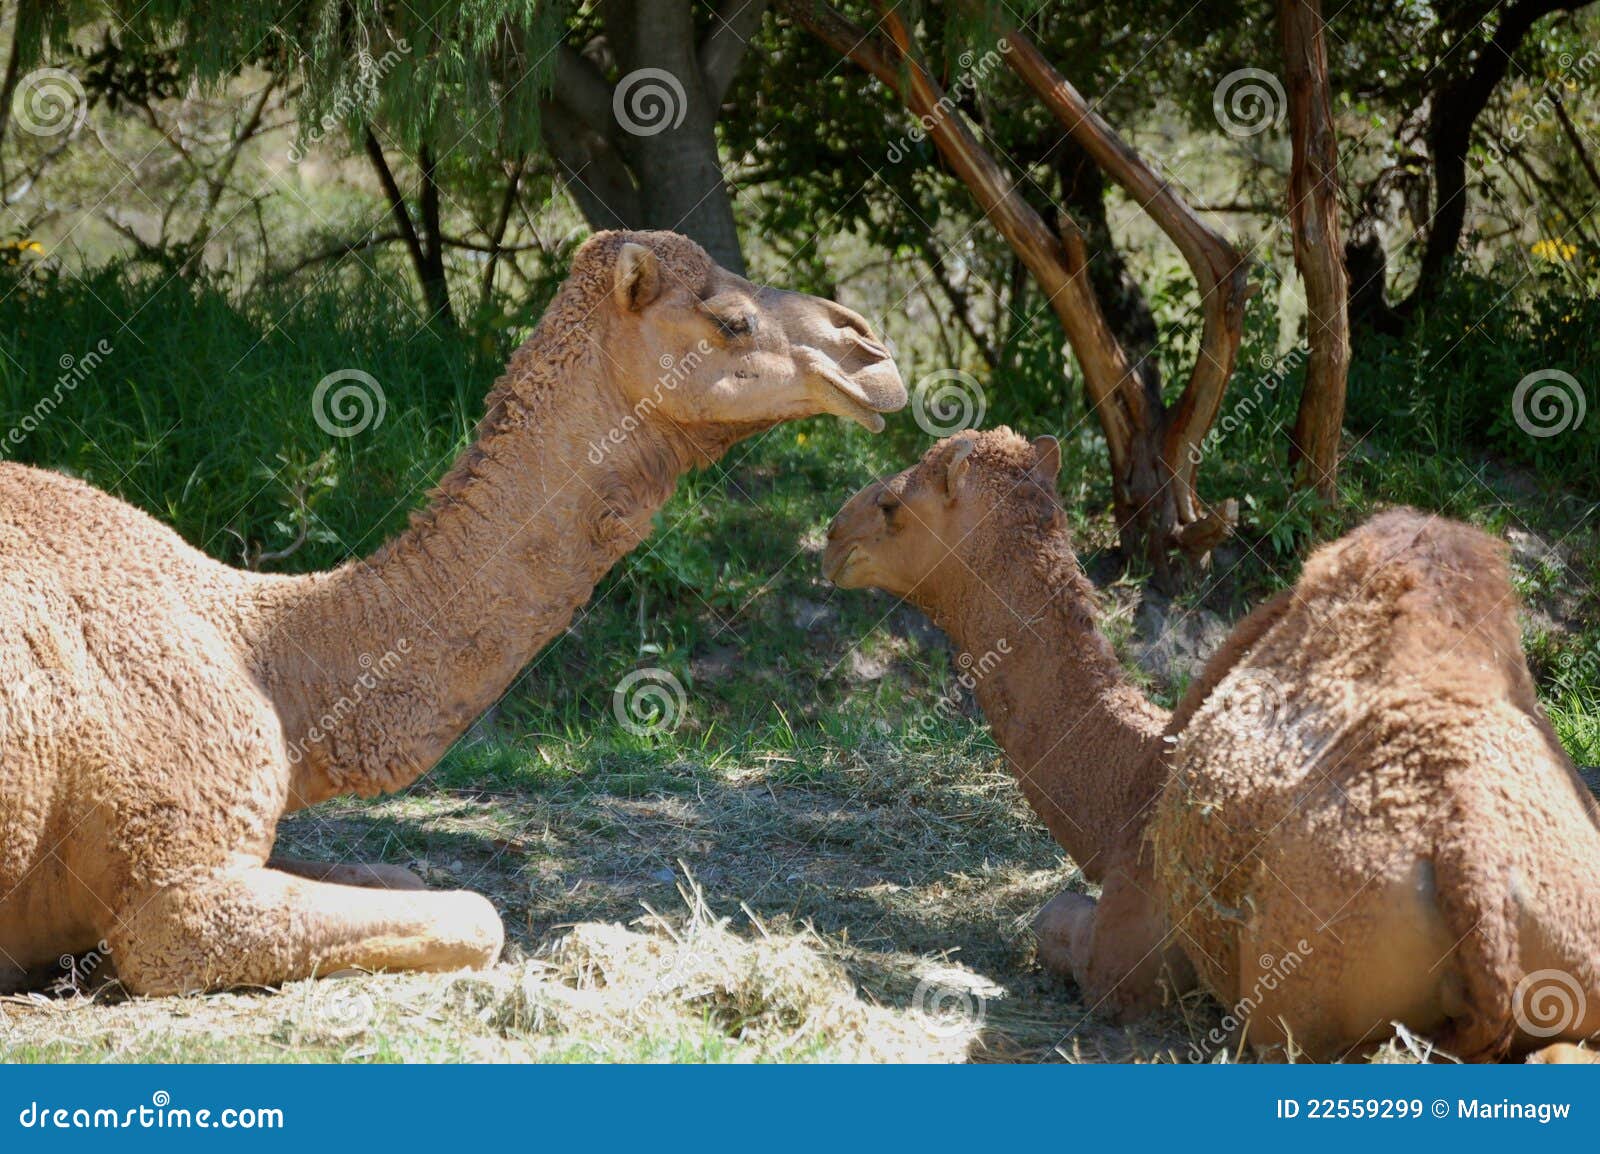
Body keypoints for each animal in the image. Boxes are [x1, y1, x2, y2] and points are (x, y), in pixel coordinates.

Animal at [0, 230, 905, 996]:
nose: (872, 351)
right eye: (731, 319)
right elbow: (478, 916)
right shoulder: (175, 893)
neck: (266, 657)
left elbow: (408, 877)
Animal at [823, 427, 1600, 1062]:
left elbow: (1052, 923)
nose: (832, 535)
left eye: (892, 505)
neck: (1134, 778)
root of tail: (1473, 872)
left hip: (1303, 998)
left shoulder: (1129, 960)